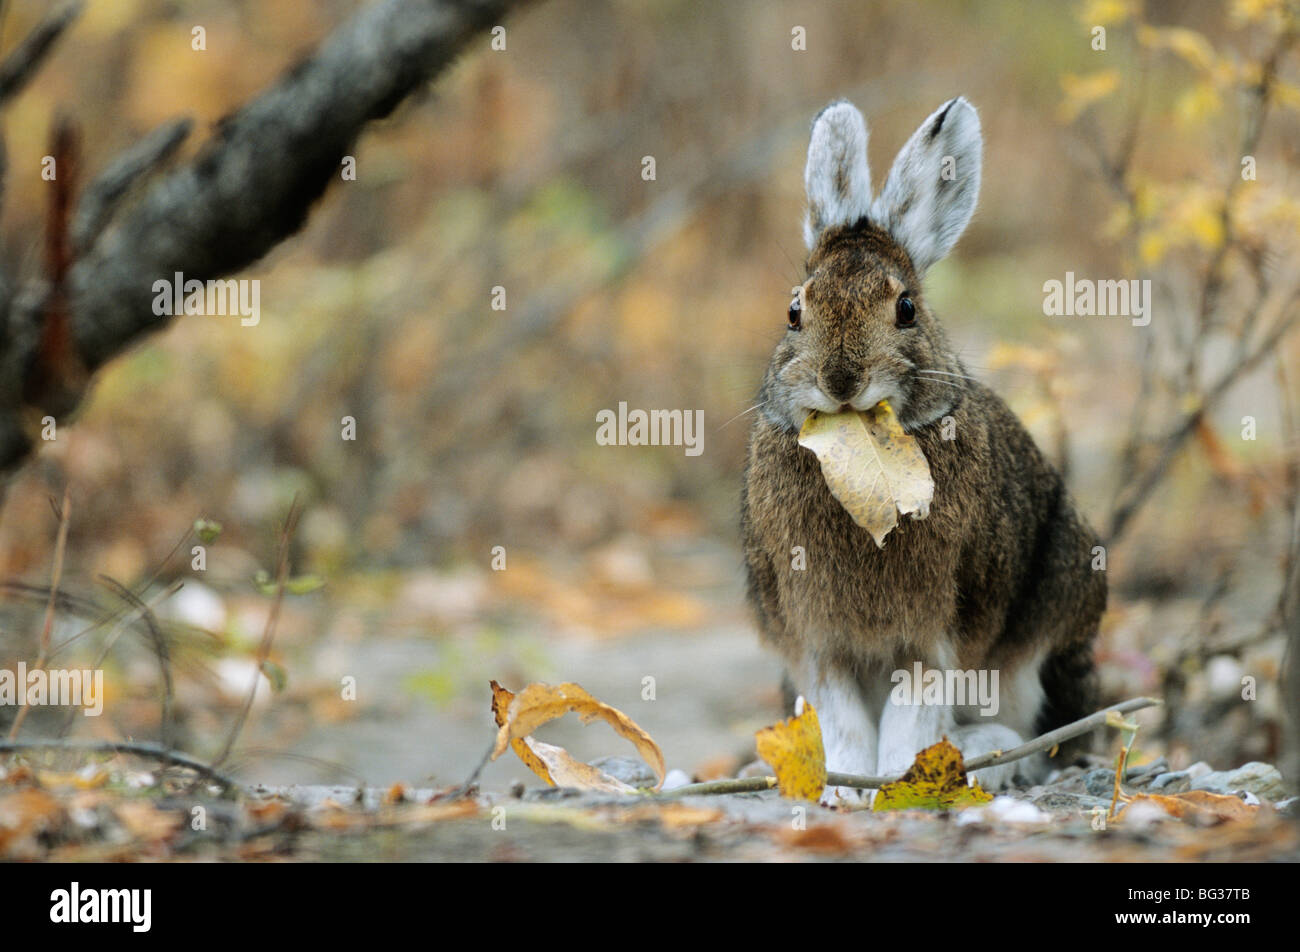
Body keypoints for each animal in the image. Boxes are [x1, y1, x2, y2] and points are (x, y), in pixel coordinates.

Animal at [741, 97, 1106, 806]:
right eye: (795, 311)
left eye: (906, 308)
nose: (841, 379)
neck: (858, 459)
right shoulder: (816, 641)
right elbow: (841, 717)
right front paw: (844, 790)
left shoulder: (936, 636)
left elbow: (913, 712)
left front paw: (898, 781)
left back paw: (986, 759)